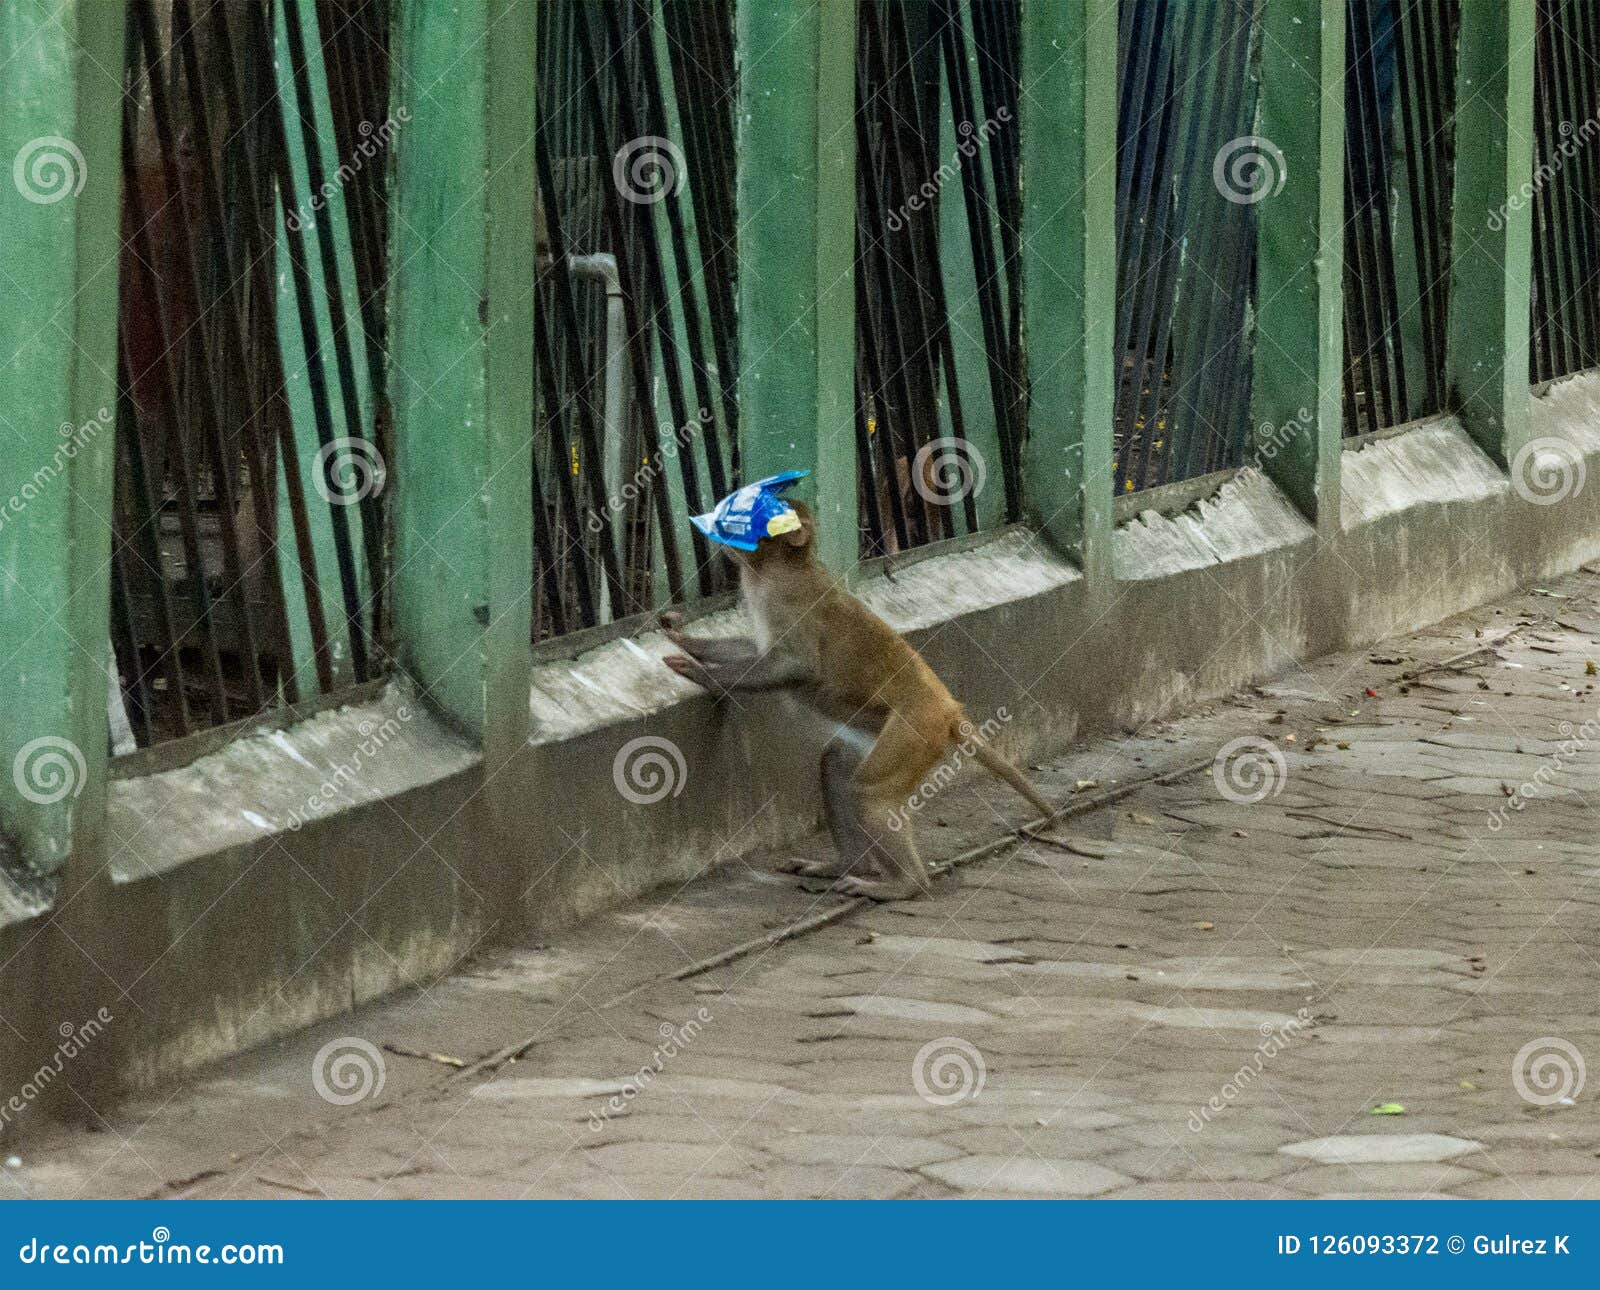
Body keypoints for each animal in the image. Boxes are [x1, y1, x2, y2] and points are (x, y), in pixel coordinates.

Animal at [660, 502, 1055, 901]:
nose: (719, 527)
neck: (774, 568)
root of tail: (946, 706)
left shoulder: (787, 600)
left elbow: (796, 666)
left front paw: (707, 676)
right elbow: (756, 651)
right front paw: (689, 643)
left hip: (914, 730)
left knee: (870, 792)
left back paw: (904, 885)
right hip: (882, 729)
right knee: (837, 766)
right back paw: (848, 865)